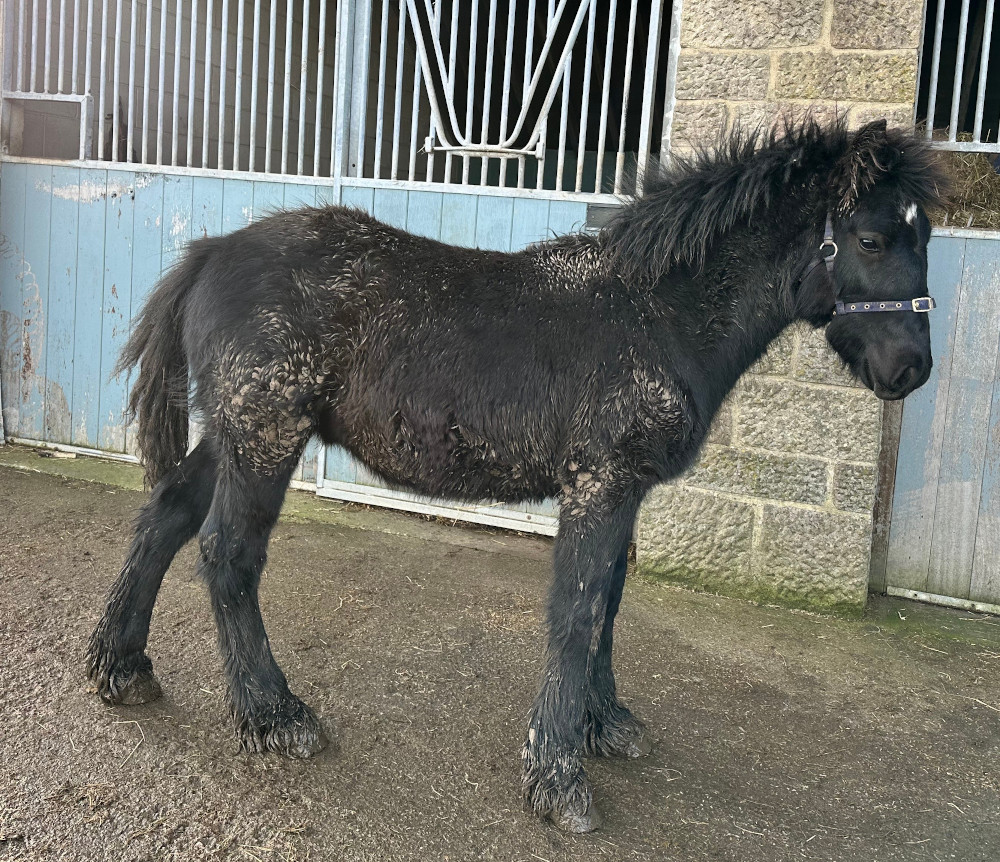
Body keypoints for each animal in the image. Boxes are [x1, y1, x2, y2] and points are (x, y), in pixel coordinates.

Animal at [86, 118, 947, 833]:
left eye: (926, 234)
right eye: (872, 239)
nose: (911, 369)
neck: (655, 312)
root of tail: (212, 253)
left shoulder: (626, 491)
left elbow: (610, 602)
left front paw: (604, 724)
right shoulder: (599, 483)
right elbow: (576, 611)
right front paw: (558, 778)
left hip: (237, 432)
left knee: (165, 516)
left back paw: (121, 668)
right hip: (267, 435)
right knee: (227, 554)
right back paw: (274, 714)